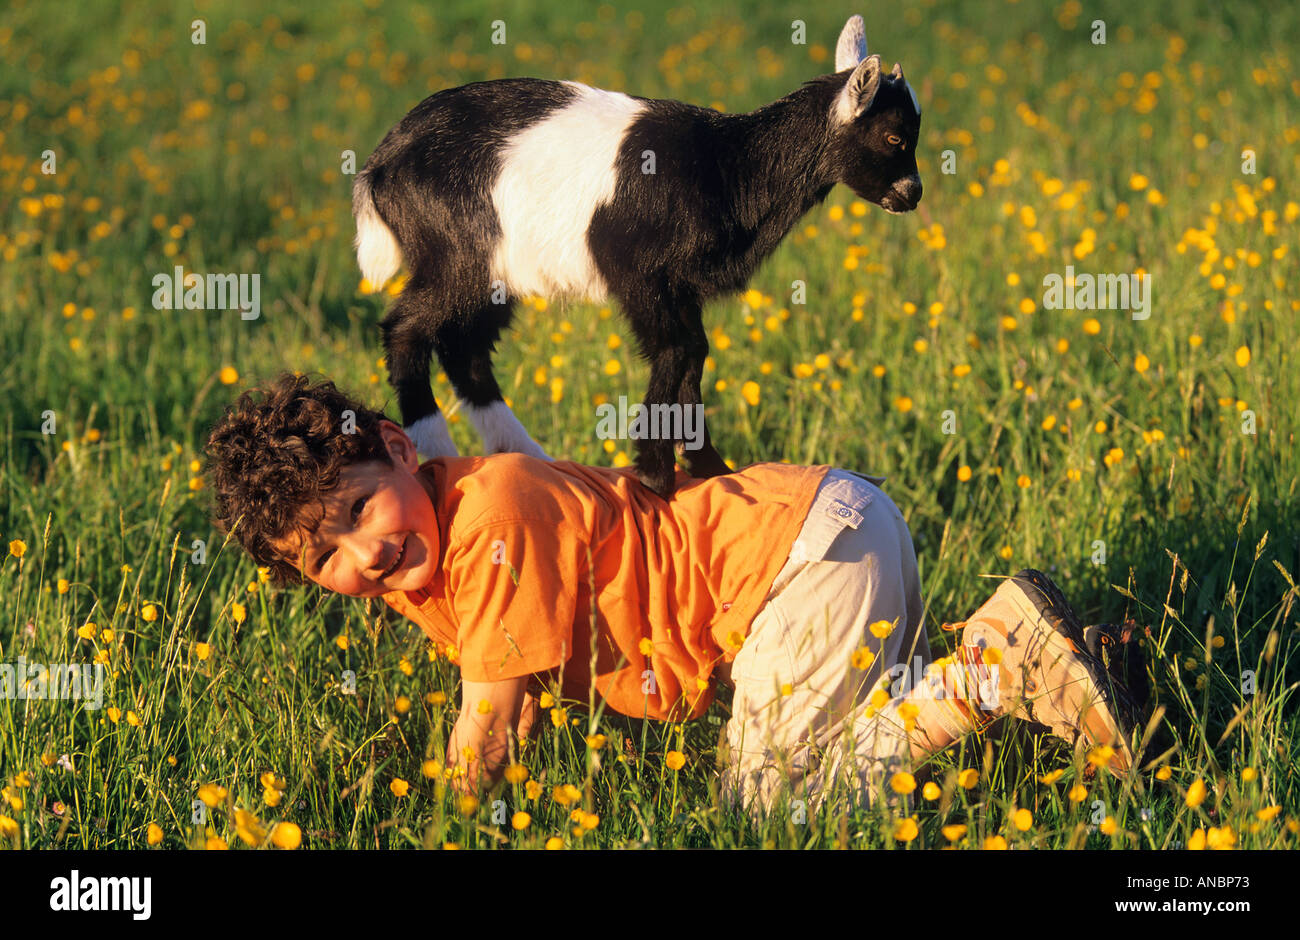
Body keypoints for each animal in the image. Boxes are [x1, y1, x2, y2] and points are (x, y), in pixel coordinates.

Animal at [353, 13, 922, 496]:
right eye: (894, 136)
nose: (912, 194)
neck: (731, 166)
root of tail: (380, 162)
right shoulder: (638, 273)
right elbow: (678, 349)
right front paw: (655, 477)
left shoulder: (682, 285)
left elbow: (696, 353)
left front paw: (711, 468)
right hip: (458, 251)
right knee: (406, 328)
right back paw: (435, 451)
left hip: (495, 270)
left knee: (465, 349)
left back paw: (523, 454)